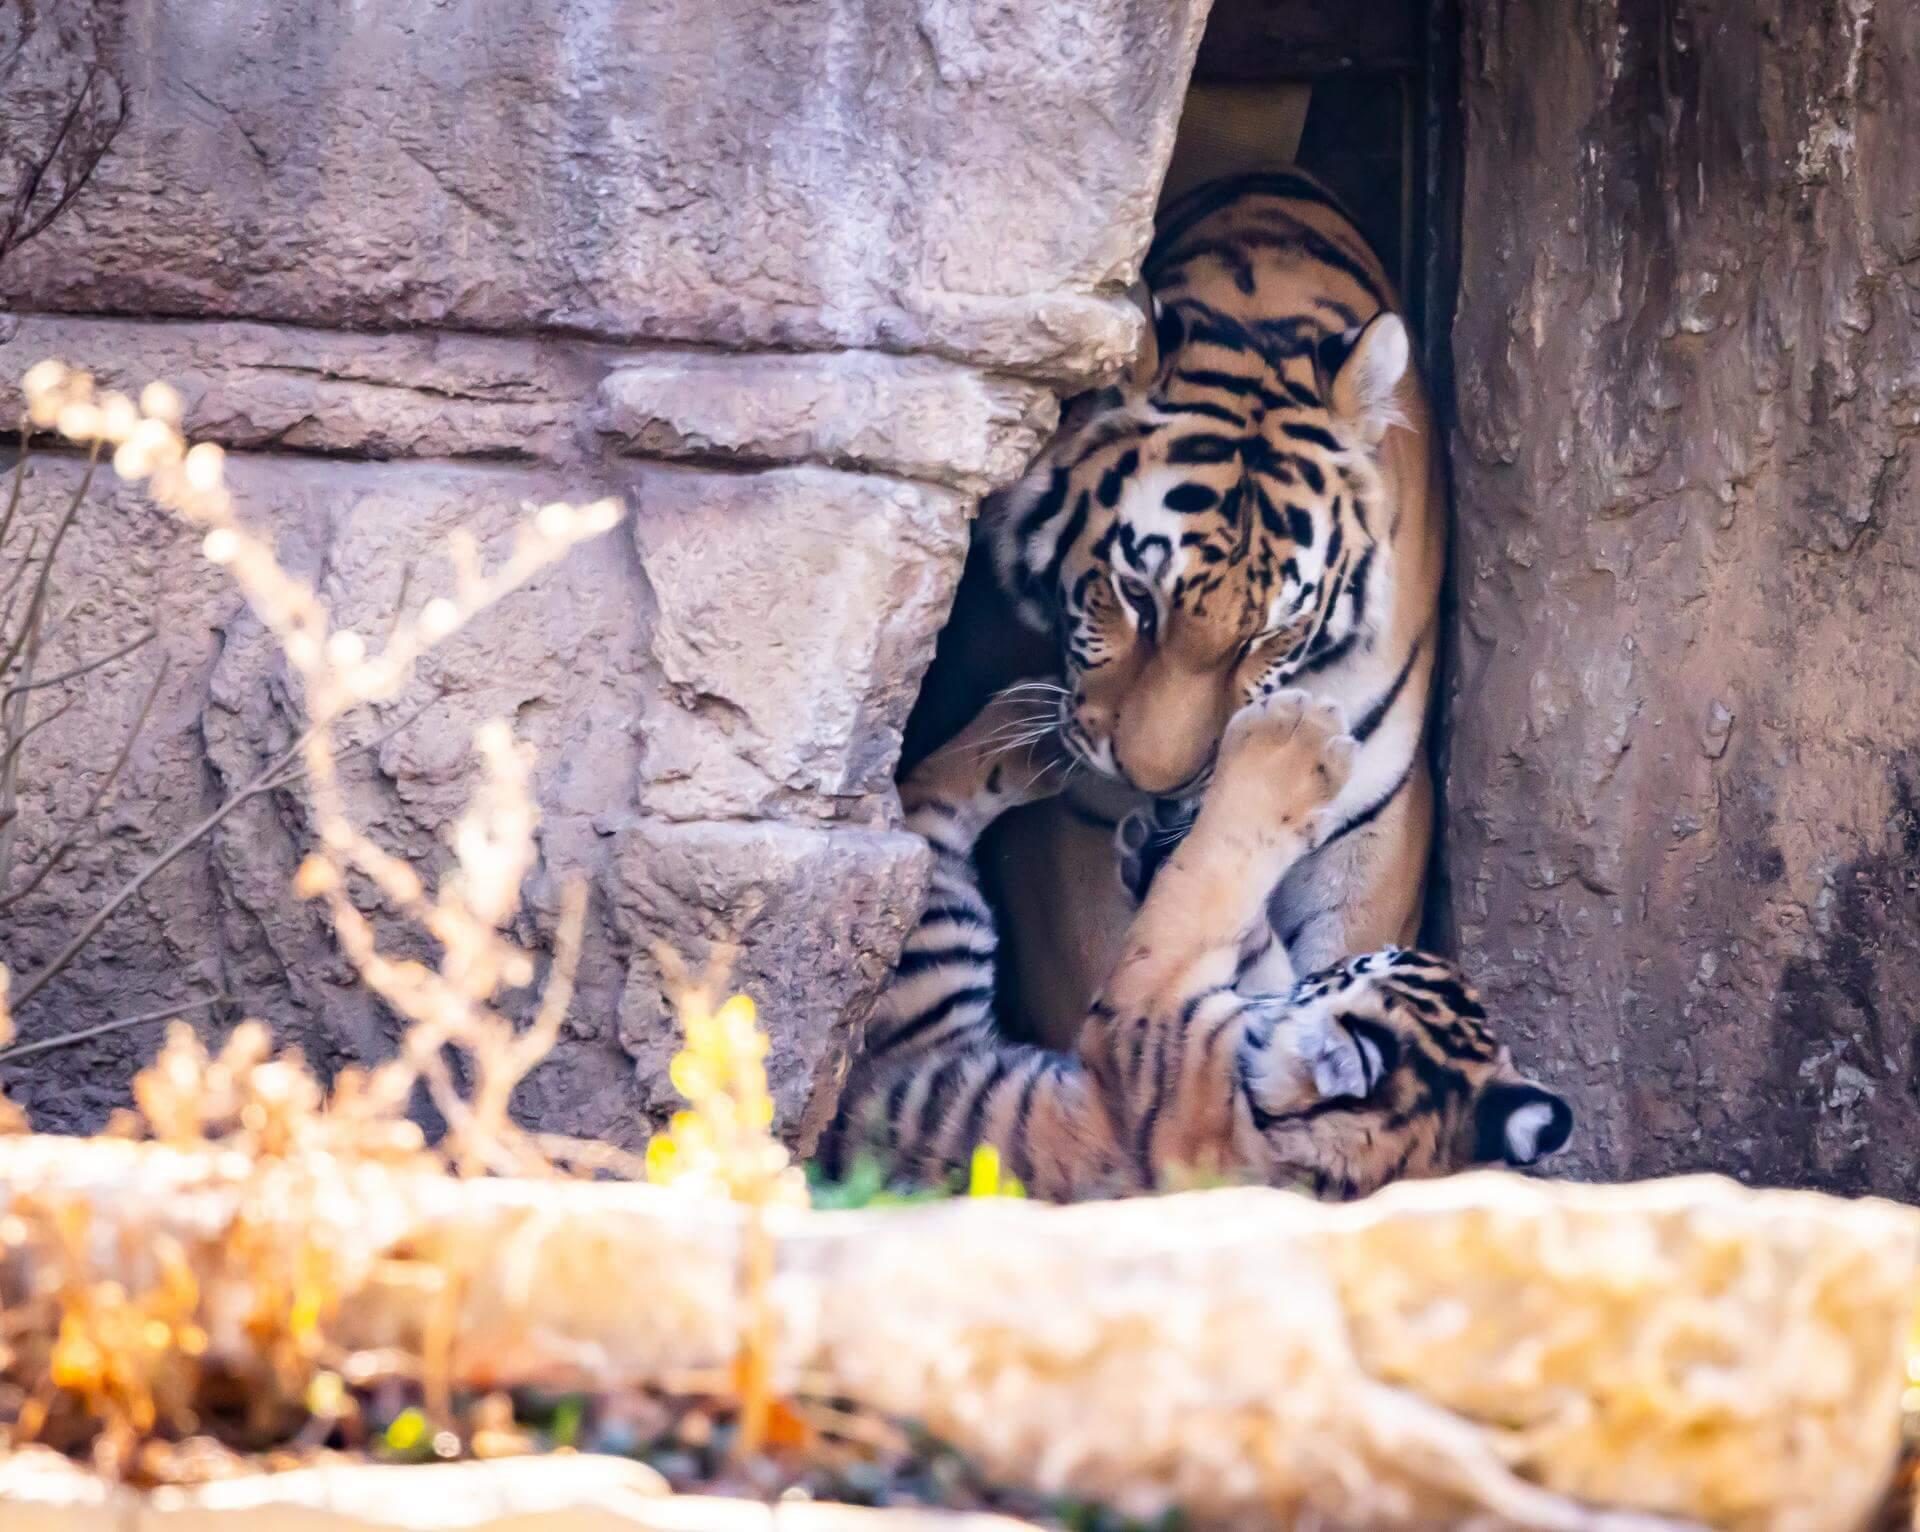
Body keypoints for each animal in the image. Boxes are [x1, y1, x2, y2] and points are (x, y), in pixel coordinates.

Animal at [821, 686, 1572, 1202]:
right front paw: (1146, 852)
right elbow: (1244, 923)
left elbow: (1212, 873)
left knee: (929, 806)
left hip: (938, 945)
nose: (1336, 963)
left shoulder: (1149, 997)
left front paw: (1291, 734)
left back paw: (1031, 728)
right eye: (1369, 958)